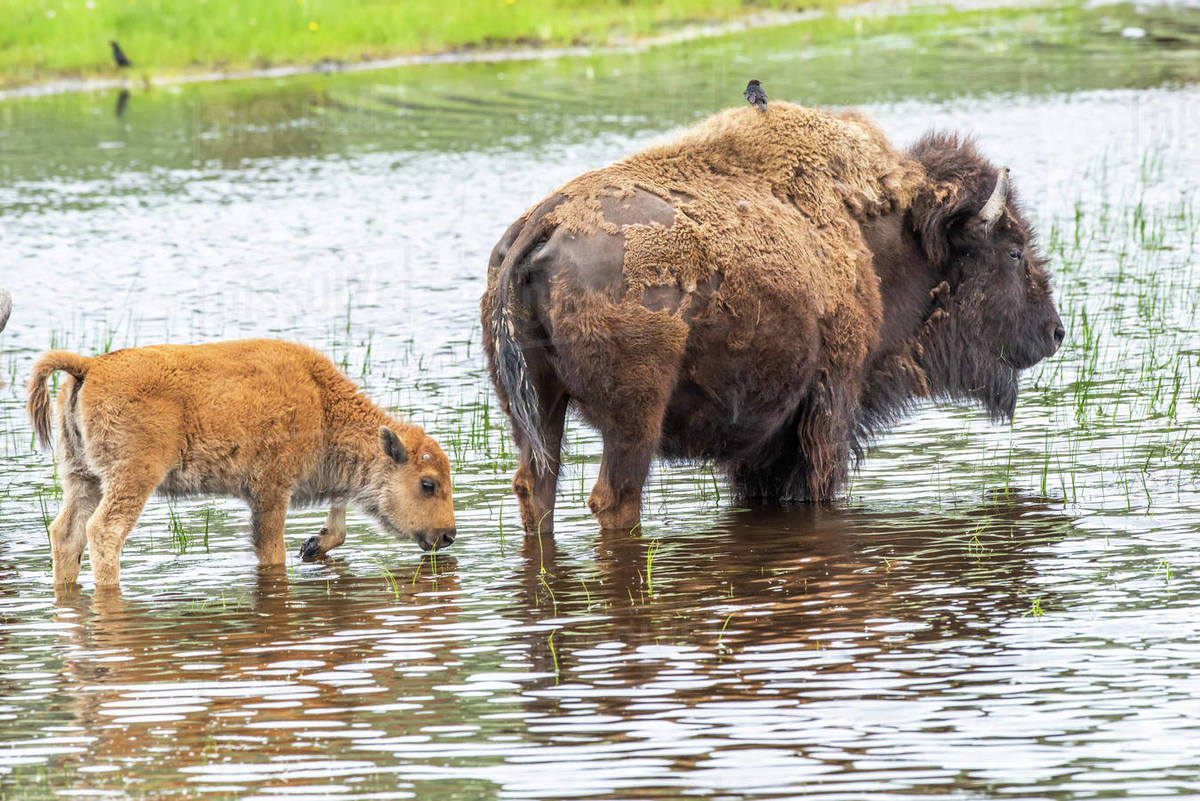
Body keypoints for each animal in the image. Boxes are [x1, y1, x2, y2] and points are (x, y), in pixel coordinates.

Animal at [26, 339, 456, 587]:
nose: (448, 535)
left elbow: (338, 520)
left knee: (66, 533)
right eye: (428, 483)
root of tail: (89, 366)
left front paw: (314, 545)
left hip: (82, 478)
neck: (320, 402)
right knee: (104, 531)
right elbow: (271, 549)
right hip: (132, 477)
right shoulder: (270, 492)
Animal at [482, 103, 1063, 535]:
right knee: (615, 497)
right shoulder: (831, 402)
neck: (892, 242)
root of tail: (546, 221)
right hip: (632, 419)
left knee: (536, 488)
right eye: (1013, 251)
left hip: (537, 409)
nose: (1054, 332)